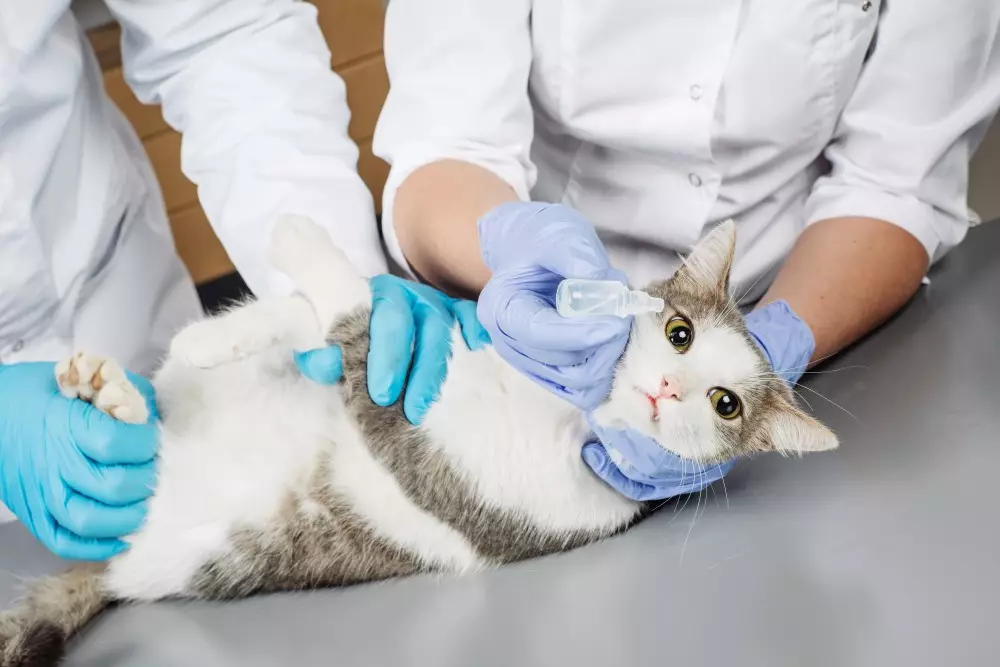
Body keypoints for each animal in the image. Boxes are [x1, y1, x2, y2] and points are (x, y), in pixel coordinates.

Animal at [0, 217, 836, 664]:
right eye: (679, 331)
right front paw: (223, 329)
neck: (569, 402)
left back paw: (107, 411)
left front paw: (311, 251)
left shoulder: (439, 461)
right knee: (168, 391)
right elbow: (335, 322)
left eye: (726, 404)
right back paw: (107, 390)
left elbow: (357, 330)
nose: (667, 389)